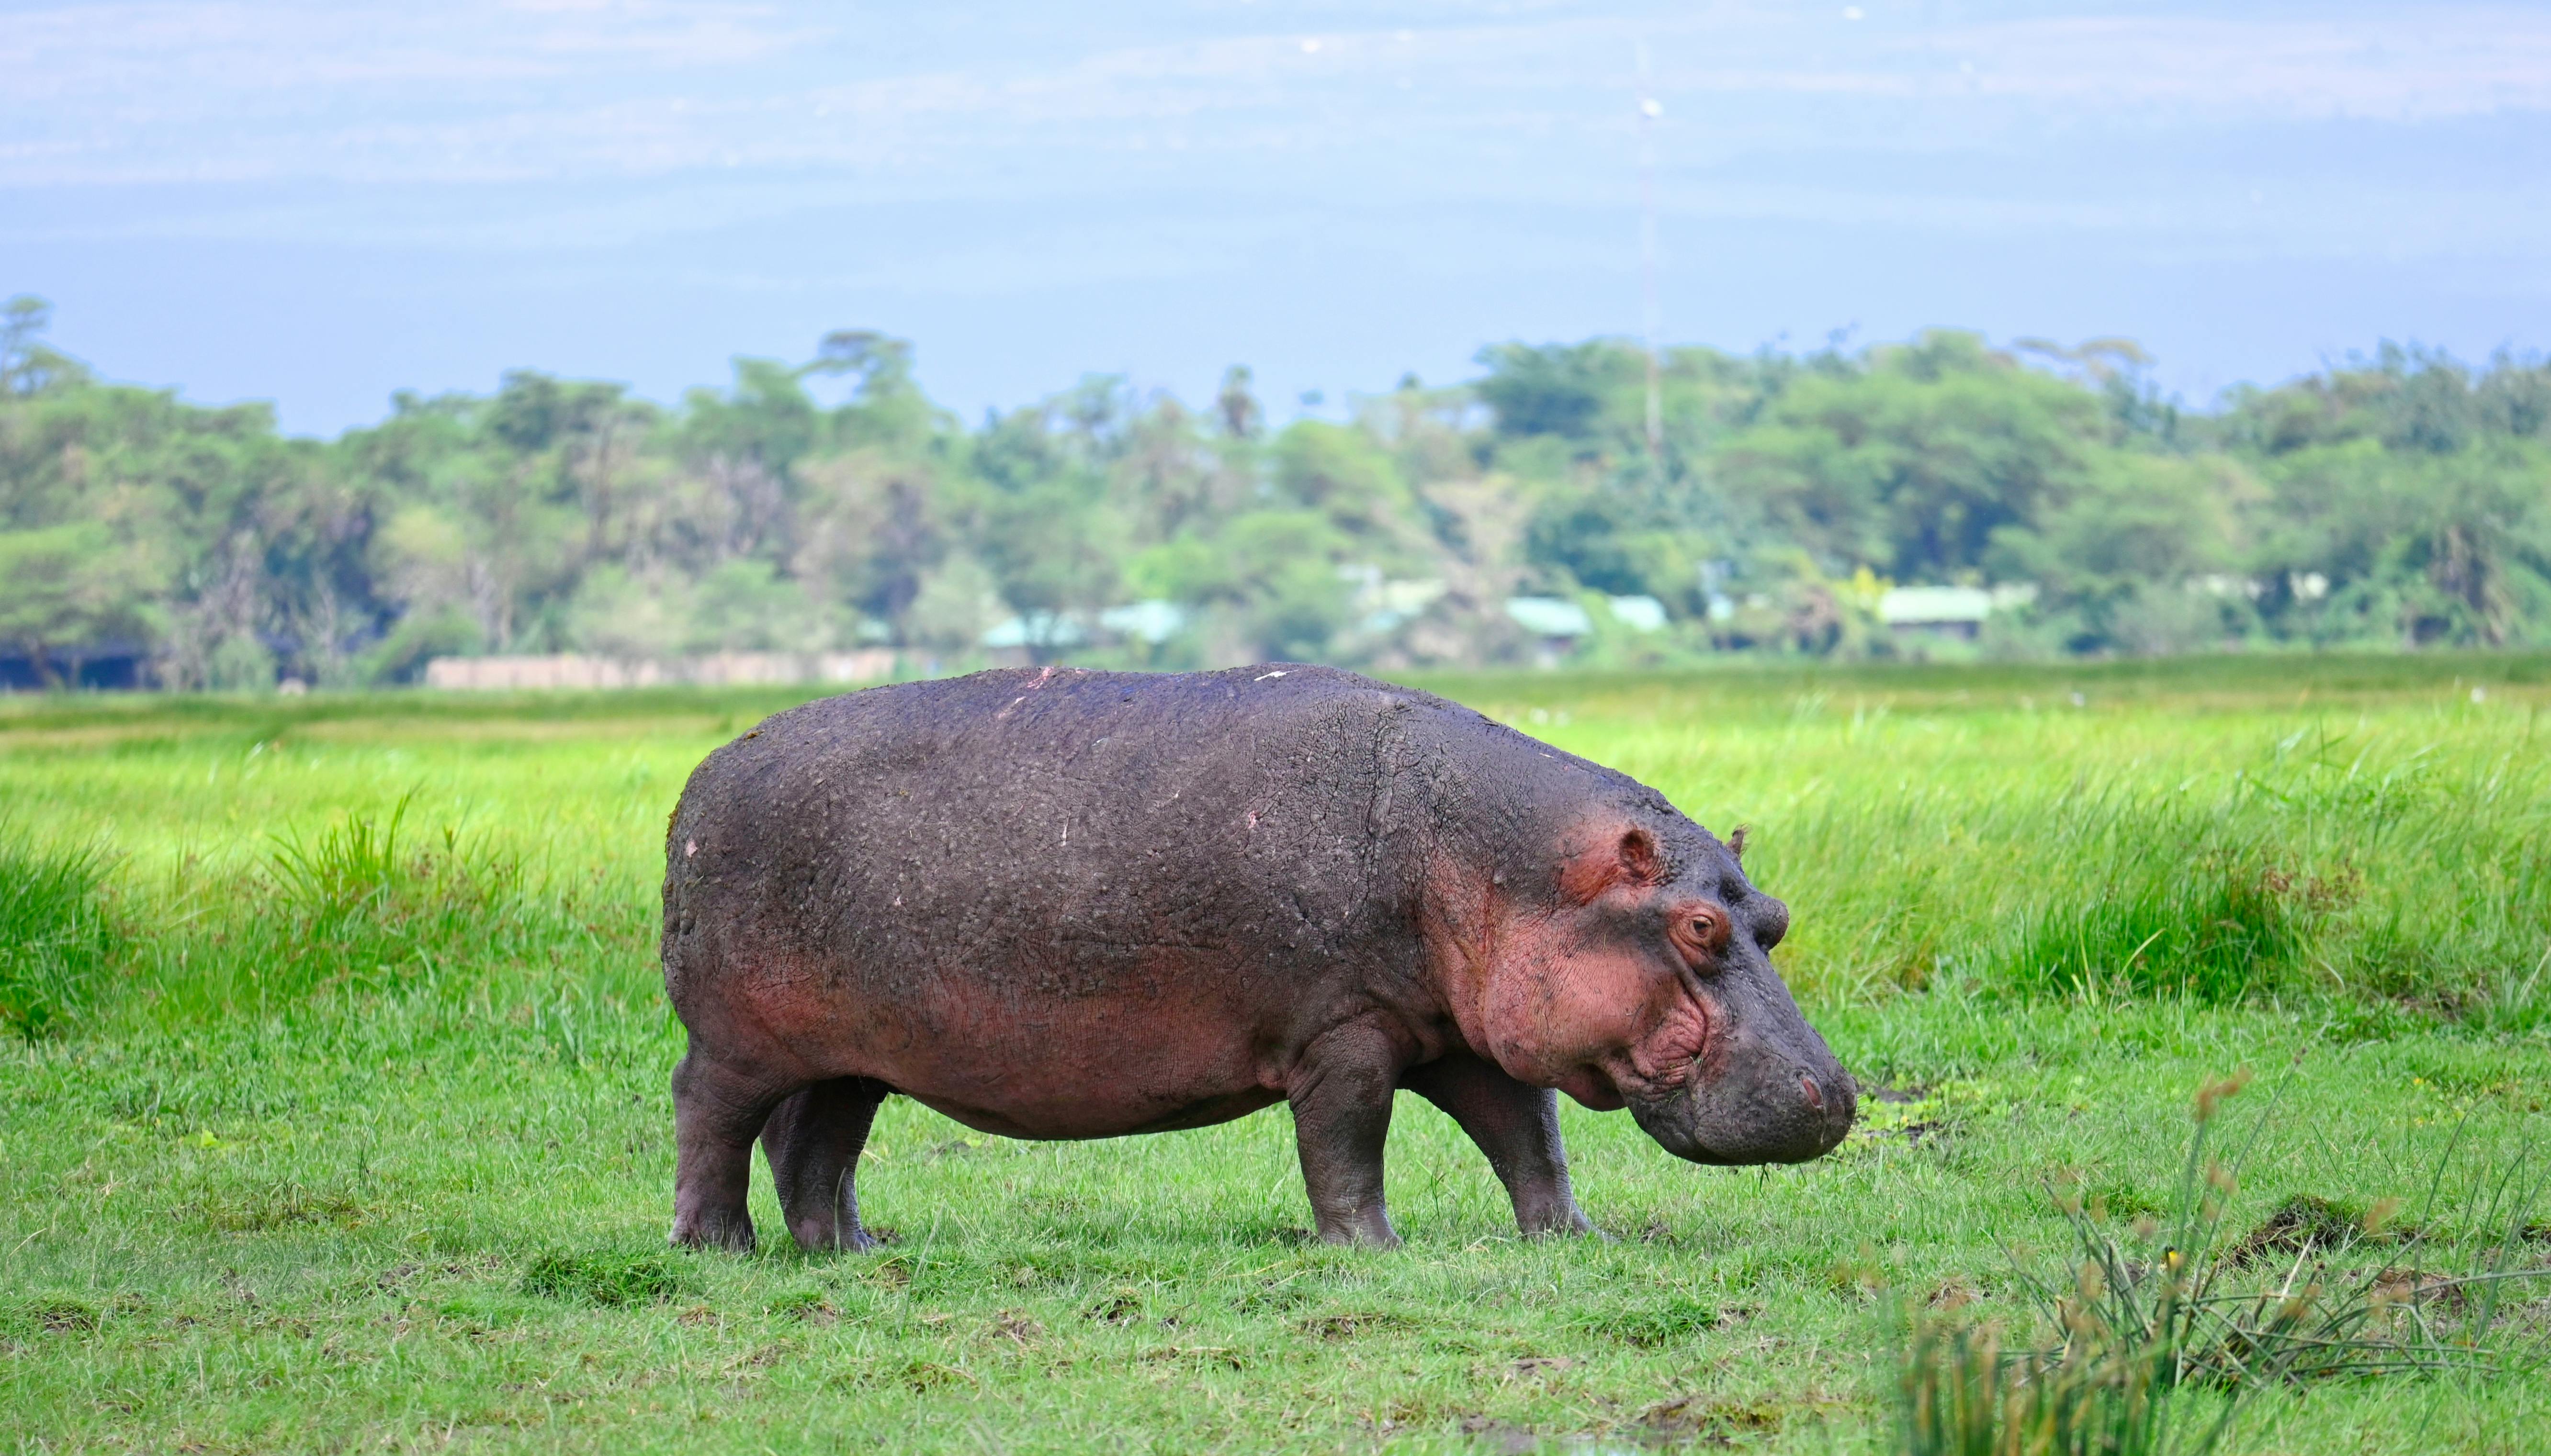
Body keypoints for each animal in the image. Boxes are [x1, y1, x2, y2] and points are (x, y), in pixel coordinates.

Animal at [662, 664, 1854, 1250]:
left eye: (1776, 916)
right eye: (1698, 930)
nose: (1838, 1096)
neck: (1498, 860)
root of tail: (705, 773)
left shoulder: (1463, 1032)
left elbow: (1530, 1139)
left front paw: (1574, 1239)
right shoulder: (1346, 1032)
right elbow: (1347, 1146)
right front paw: (1369, 1253)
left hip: (848, 1051)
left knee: (818, 1145)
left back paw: (852, 1252)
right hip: (738, 1042)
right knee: (710, 1122)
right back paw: (718, 1249)